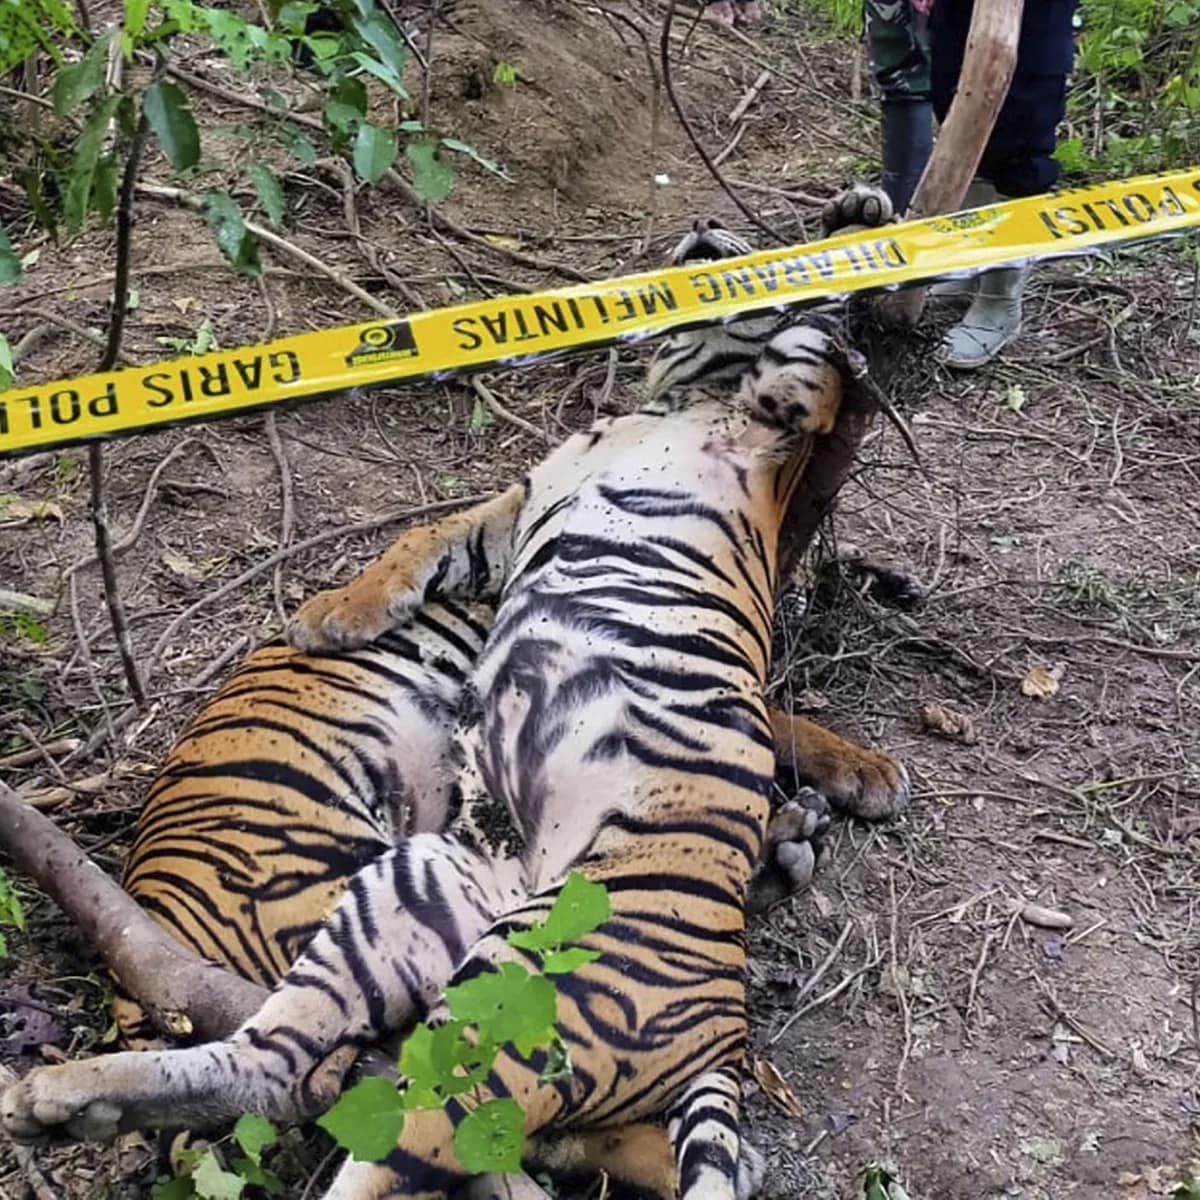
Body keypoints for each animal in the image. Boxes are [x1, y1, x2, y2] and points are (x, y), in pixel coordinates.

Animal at [2, 188, 908, 1200]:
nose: (708, 232)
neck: (683, 397)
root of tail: (725, 1026)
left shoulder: (763, 447)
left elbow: (810, 356)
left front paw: (855, 233)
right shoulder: (518, 508)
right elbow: (420, 543)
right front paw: (330, 615)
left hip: (481, 954)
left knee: (395, 1116)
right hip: (422, 902)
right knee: (330, 1086)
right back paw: (62, 1099)